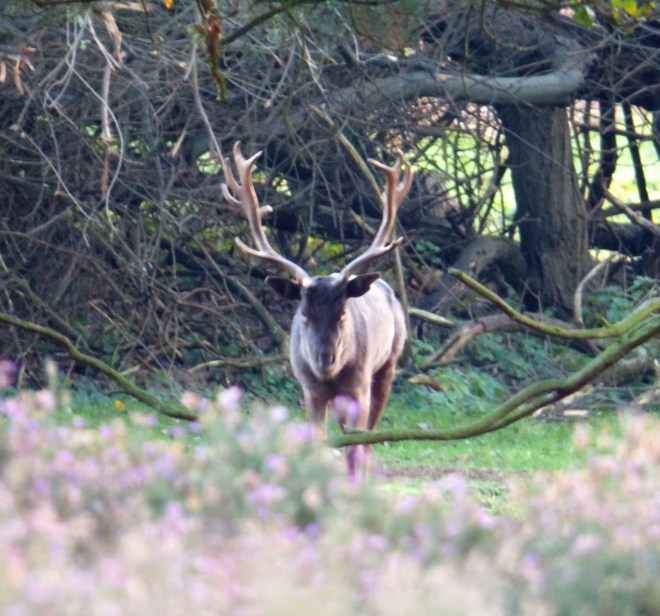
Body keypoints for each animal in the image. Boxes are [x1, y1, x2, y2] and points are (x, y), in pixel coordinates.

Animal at [221, 142, 413, 477]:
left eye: (343, 315)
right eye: (304, 315)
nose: (325, 359)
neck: (331, 379)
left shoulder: (359, 386)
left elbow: (356, 447)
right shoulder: (310, 391)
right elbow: (321, 445)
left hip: (388, 362)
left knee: (370, 438)